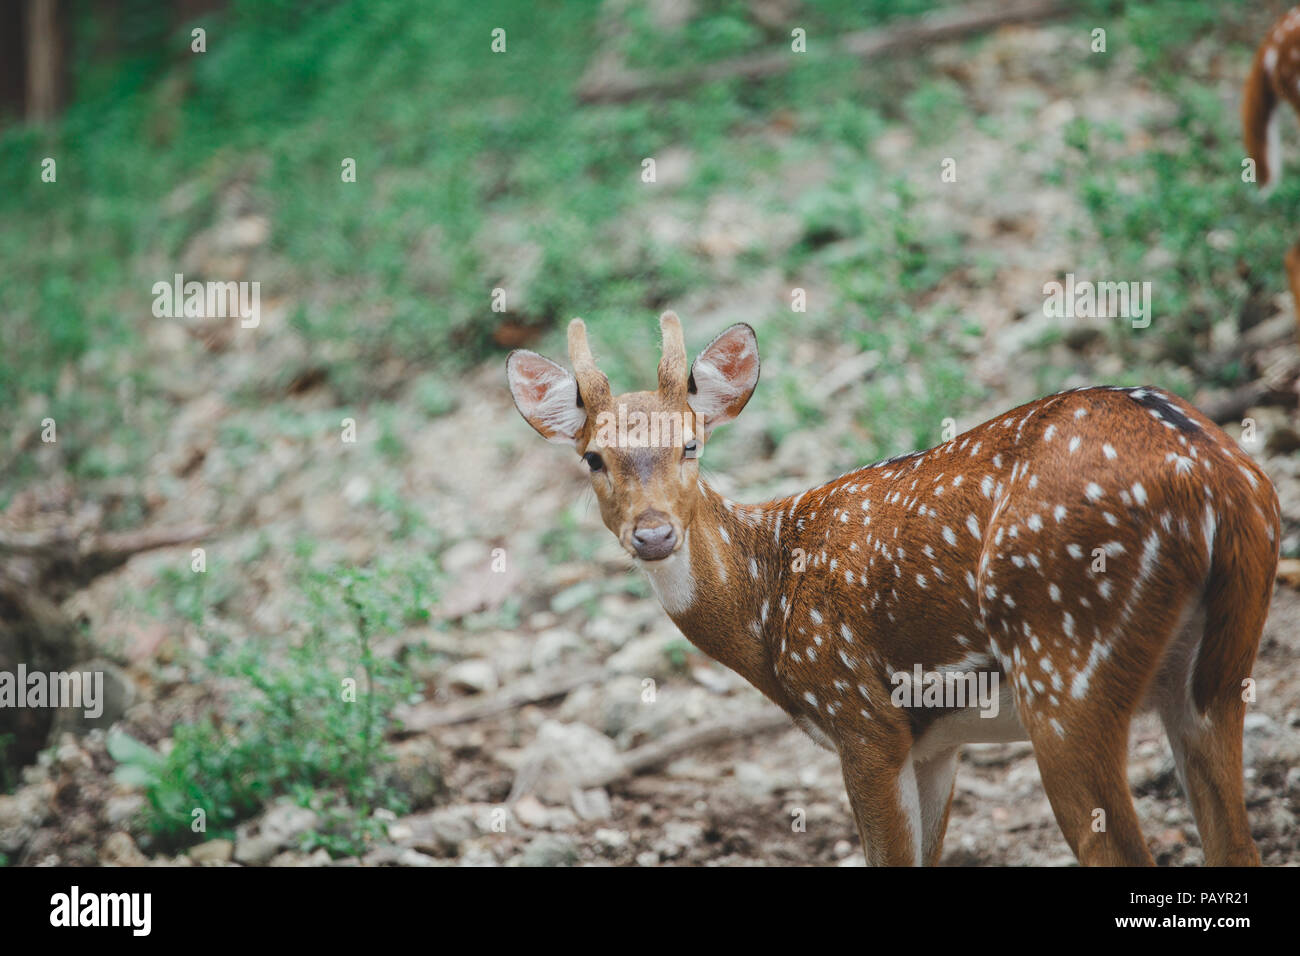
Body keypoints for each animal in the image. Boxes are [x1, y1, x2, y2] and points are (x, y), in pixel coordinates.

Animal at [506, 312, 1279, 866]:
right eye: (592, 458)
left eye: (690, 444)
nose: (654, 533)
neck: (769, 609)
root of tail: (1216, 480)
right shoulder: (932, 740)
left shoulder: (860, 715)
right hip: (1220, 667)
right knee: (1235, 842)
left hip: (1066, 663)